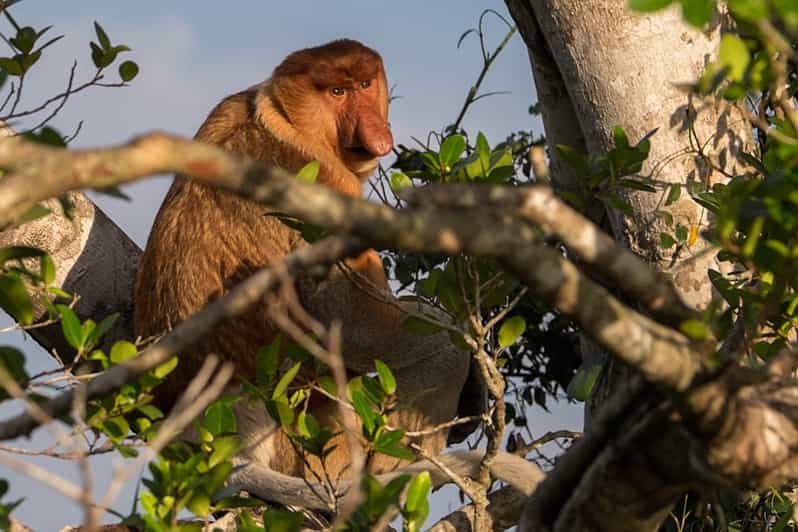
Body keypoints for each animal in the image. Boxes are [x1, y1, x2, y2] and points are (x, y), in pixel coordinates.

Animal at [134, 39, 480, 480]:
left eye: (364, 84)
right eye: (337, 93)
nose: (376, 133)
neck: (283, 120)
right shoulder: (325, 186)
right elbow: (347, 317)